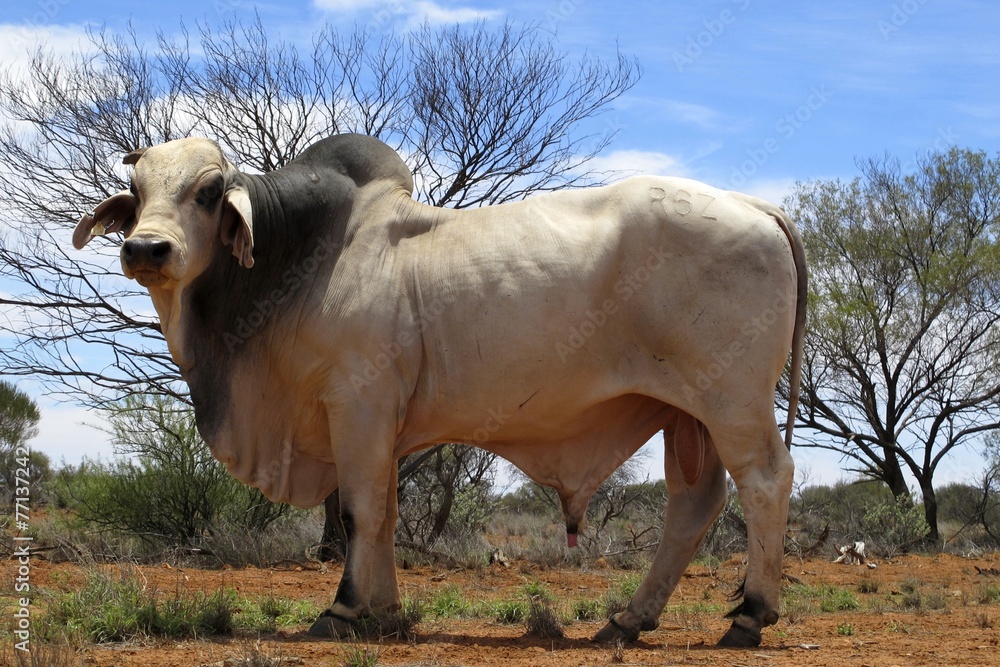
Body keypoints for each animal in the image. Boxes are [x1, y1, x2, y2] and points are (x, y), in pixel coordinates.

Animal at [73, 134, 806, 648]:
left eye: (206, 191)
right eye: (135, 188)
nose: (146, 249)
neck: (297, 261)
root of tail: (758, 205)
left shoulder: (358, 402)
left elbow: (358, 512)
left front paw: (344, 610)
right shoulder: (377, 424)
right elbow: (385, 513)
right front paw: (387, 613)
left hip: (732, 400)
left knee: (765, 480)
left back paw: (749, 616)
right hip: (686, 414)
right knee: (695, 503)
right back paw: (628, 619)